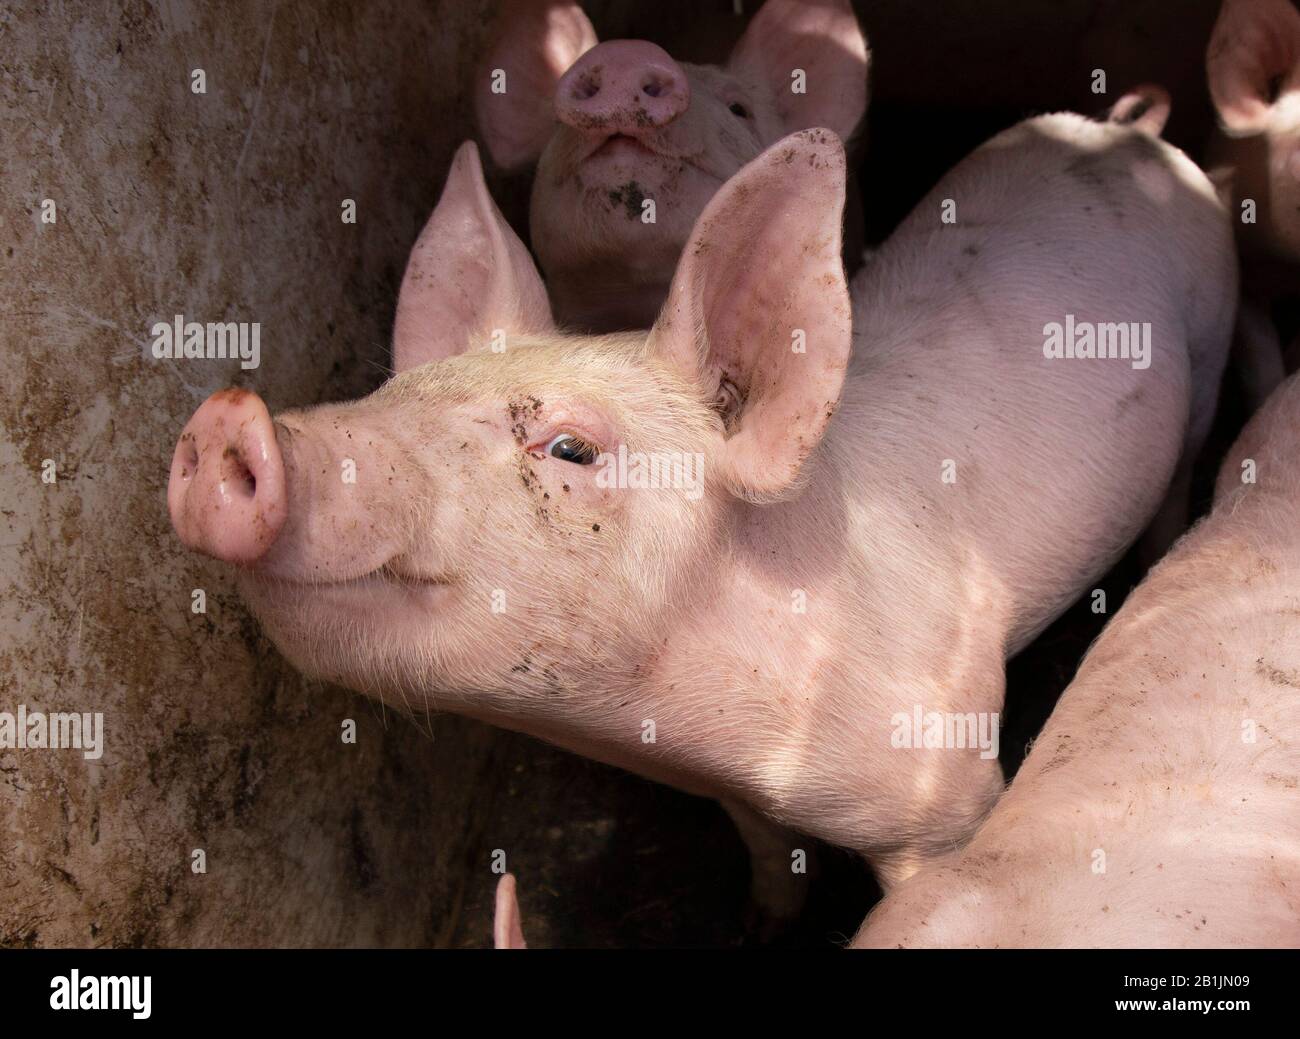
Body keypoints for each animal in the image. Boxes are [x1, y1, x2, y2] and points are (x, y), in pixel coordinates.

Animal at [168, 116, 1234, 903]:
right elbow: (763, 853)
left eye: (570, 449)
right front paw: (764, 915)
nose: (231, 421)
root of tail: (1129, 135)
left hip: (1210, 336)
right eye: (393, 392)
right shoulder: (735, 795)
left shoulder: (945, 789)